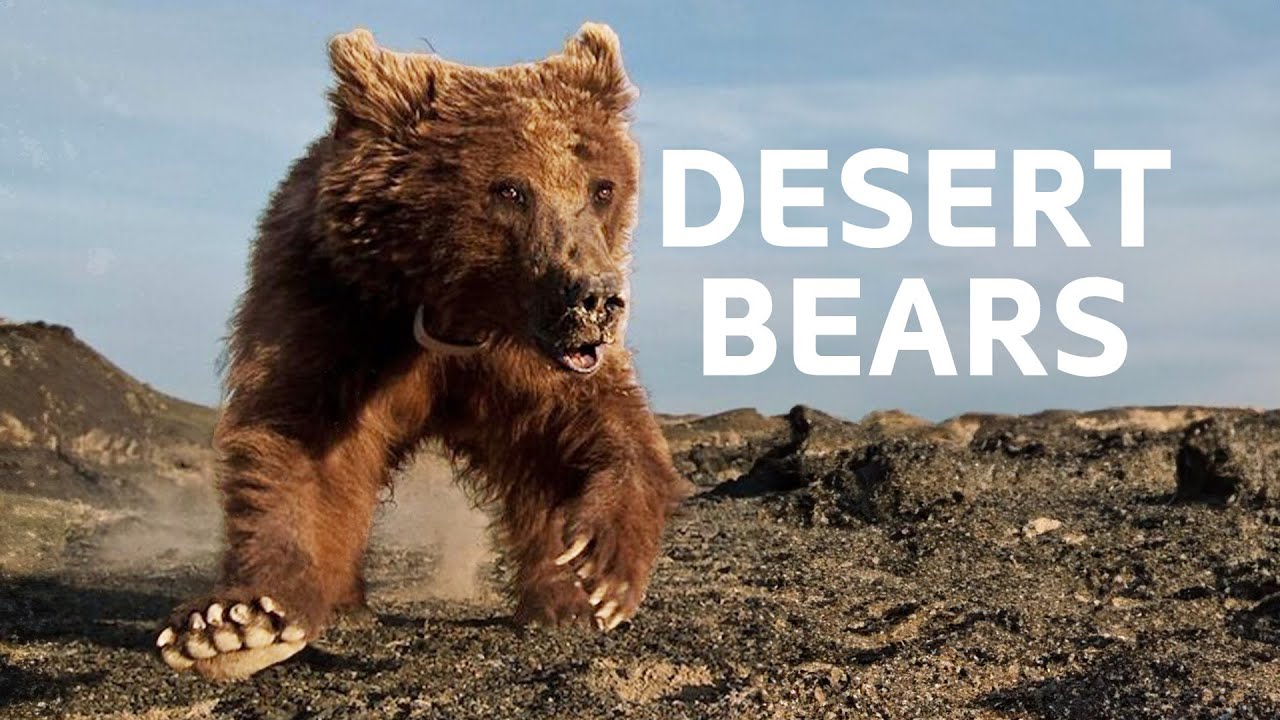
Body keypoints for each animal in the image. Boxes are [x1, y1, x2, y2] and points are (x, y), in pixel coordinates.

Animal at [155, 23, 689, 680]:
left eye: (602, 188)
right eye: (509, 188)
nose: (596, 297)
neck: (451, 310)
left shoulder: (526, 358)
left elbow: (593, 427)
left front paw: (602, 570)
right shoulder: (334, 310)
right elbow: (296, 441)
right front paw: (234, 626)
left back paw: (560, 602)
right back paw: (347, 605)